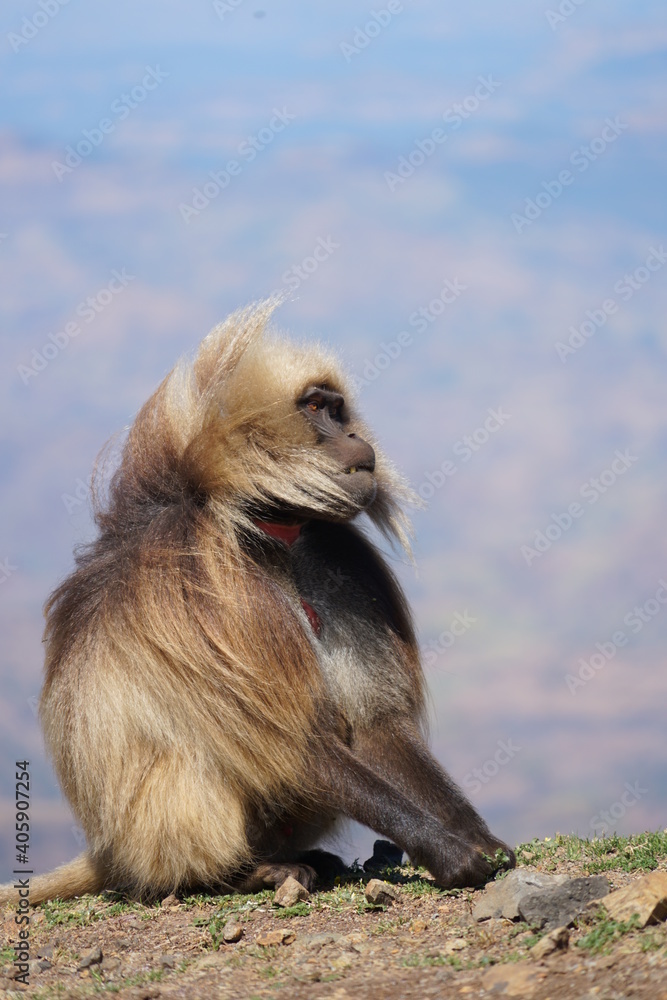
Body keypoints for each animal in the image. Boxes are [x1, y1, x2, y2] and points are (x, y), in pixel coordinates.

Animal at [0, 300, 514, 907]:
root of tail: (110, 851)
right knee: (199, 767)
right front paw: (450, 855)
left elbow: (374, 726)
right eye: (316, 409)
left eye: (338, 409)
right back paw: (246, 873)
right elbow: (295, 744)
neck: (269, 533)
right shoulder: (208, 592)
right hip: (151, 837)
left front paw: (482, 842)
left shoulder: (340, 560)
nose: (356, 437)